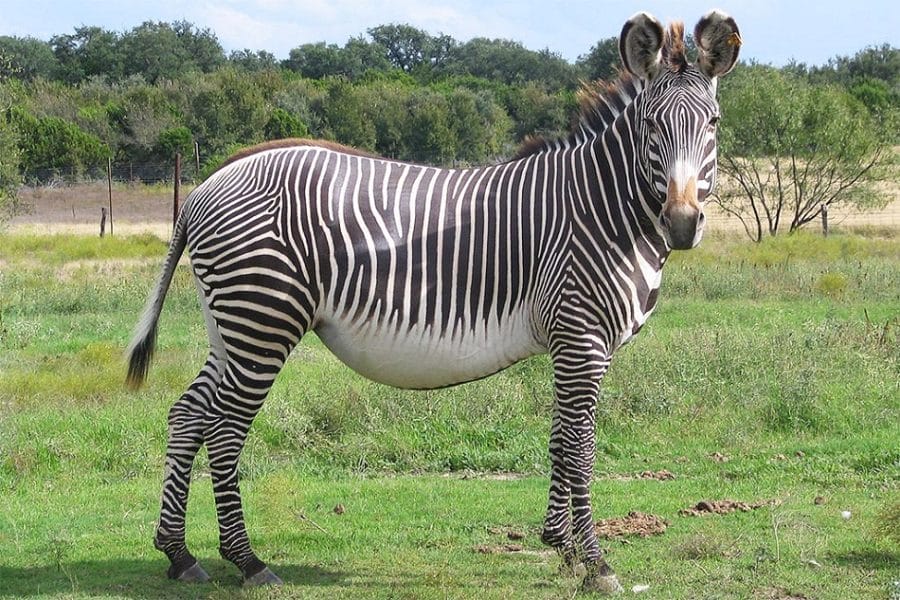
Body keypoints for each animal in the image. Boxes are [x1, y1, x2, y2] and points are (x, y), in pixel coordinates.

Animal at [127, 10, 741, 593]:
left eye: (712, 123)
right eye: (652, 126)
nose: (682, 224)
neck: (604, 210)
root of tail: (207, 185)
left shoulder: (574, 344)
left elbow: (559, 441)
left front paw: (561, 547)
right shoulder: (582, 337)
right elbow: (581, 448)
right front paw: (594, 563)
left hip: (229, 326)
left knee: (187, 414)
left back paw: (179, 554)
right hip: (263, 320)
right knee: (224, 429)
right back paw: (248, 561)